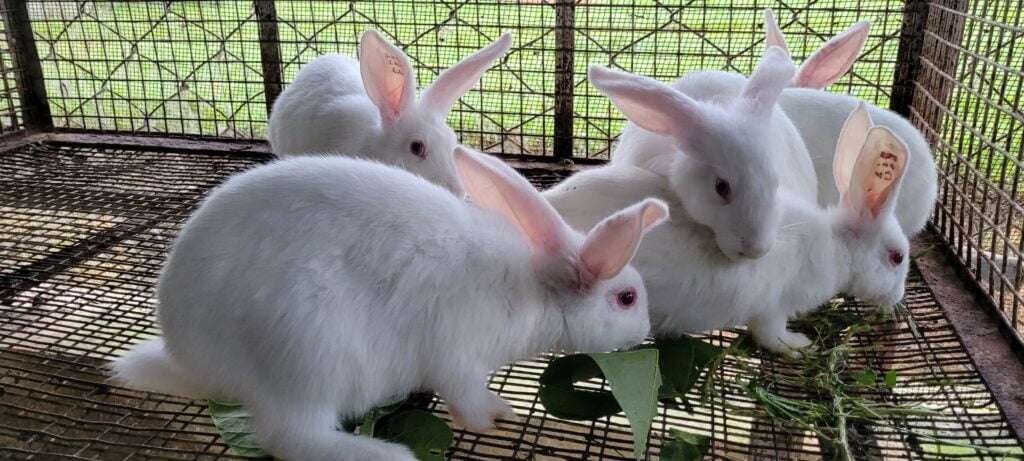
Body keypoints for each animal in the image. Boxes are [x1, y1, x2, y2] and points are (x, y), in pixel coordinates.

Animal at [111, 146, 668, 461]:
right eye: (627, 298)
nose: (645, 329)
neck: (536, 285)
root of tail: (189, 357)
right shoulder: (459, 360)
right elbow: (467, 399)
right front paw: (497, 415)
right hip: (306, 352)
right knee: (292, 439)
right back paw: (386, 454)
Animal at [547, 103, 911, 356]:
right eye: (896, 257)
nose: (896, 299)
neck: (836, 248)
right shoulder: (773, 307)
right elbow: (771, 335)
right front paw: (800, 345)